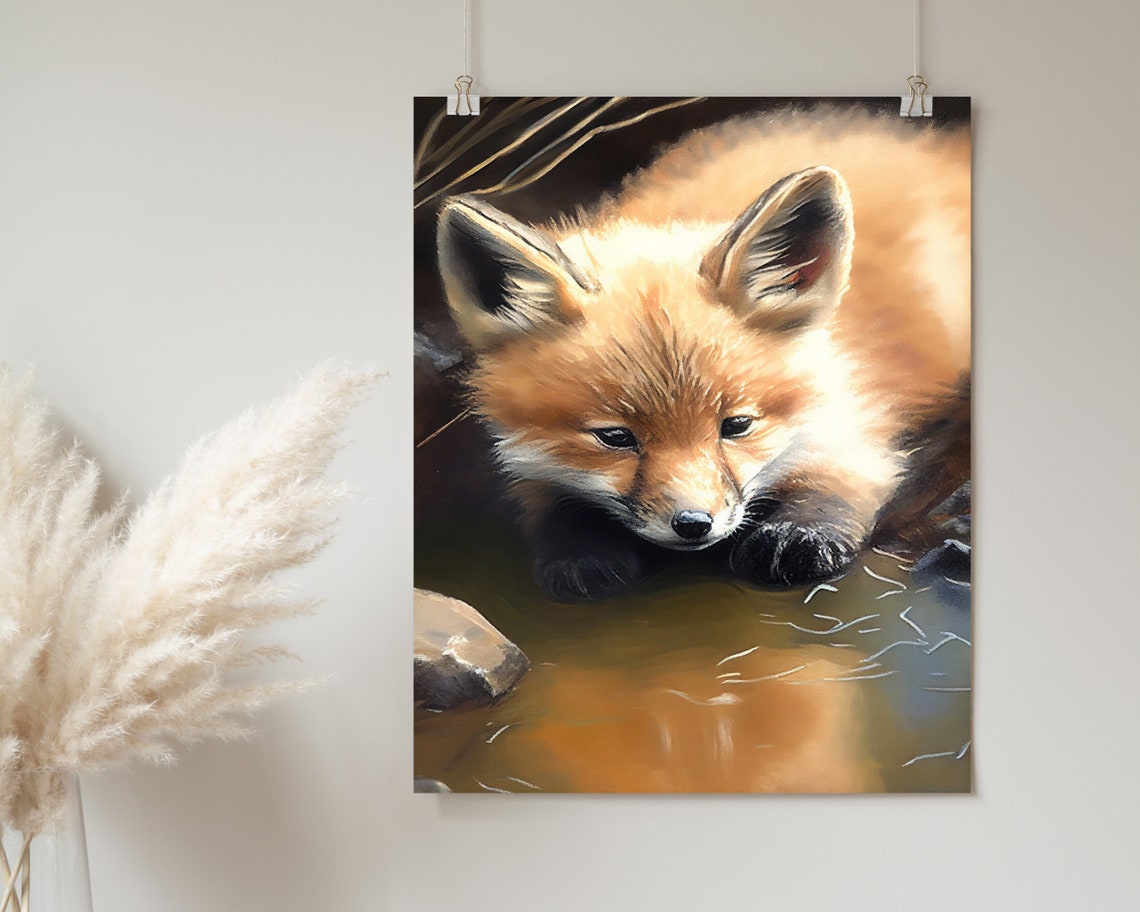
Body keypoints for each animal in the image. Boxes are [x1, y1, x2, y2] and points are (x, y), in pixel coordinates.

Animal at [436, 107, 971, 601]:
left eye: (737, 425)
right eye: (615, 437)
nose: (693, 524)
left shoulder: (850, 418)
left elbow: (848, 479)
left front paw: (798, 534)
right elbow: (549, 500)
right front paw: (579, 550)